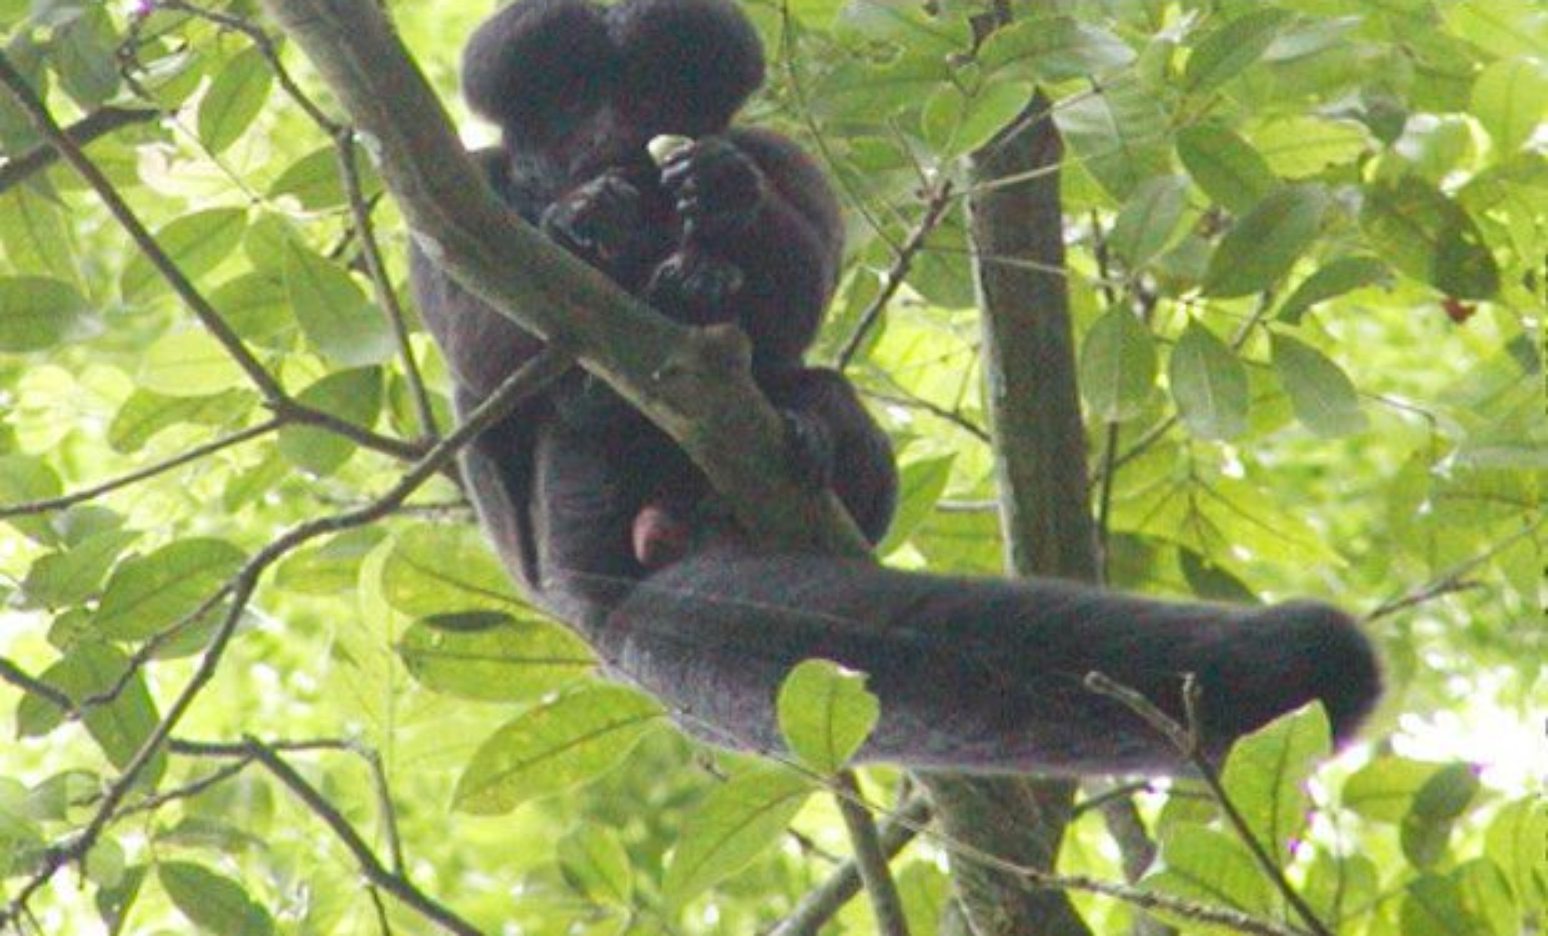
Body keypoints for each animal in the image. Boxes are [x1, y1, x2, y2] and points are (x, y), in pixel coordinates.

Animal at [413, 0, 1381, 776]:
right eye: (574, 100)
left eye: (653, 95)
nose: (615, 132)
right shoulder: (466, 181)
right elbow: (473, 339)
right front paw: (584, 220)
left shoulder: (772, 146)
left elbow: (800, 286)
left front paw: (722, 196)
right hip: (560, 510)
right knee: (548, 421)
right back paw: (606, 393)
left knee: (826, 391)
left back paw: (804, 420)